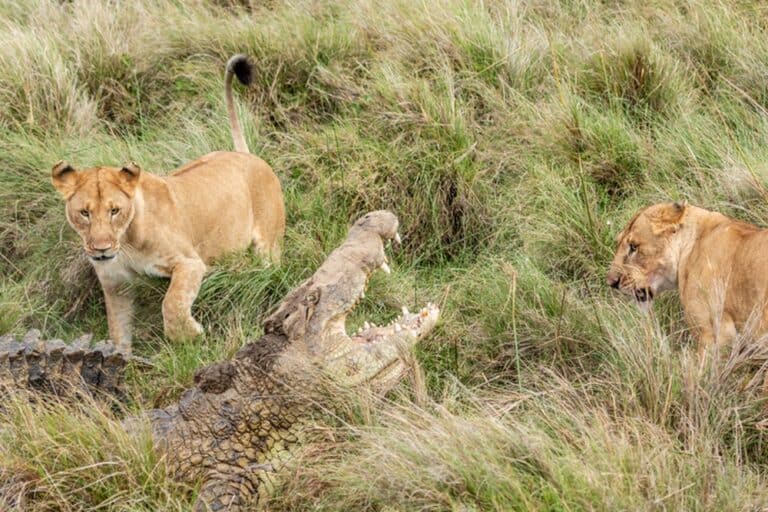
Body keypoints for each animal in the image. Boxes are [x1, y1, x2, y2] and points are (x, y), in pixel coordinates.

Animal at [51, 54, 285, 352]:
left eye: (115, 211)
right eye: (84, 213)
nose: (101, 249)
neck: (126, 243)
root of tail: (247, 156)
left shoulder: (189, 262)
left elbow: (171, 302)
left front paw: (190, 334)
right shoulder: (116, 284)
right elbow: (118, 329)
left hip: (269, 246)